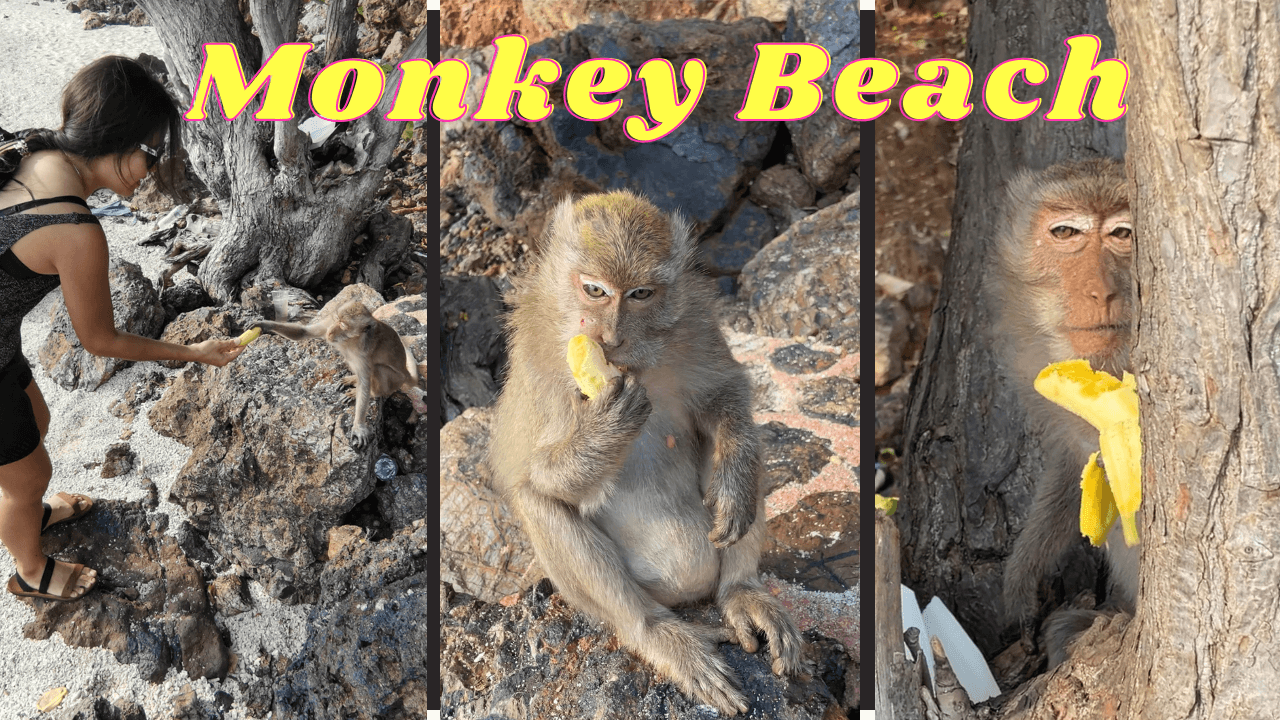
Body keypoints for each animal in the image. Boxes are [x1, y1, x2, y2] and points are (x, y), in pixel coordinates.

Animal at [254, 298, 428, 448]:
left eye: (343, 325)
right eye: (337, 319)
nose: (331, 331)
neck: (348, 340)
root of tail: (406, 373)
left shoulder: (363, 352)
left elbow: (365, 382)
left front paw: (358, 425)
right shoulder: (328, 322)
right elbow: (304, 332)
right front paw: (264, 324)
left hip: (396, 380)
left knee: (378, 370)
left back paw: (366, 391)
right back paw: (353, 379)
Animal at [487, 190, 803, 715]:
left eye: (640, 294)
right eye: (595, 290)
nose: (610, 336)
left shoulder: (695, 322)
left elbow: (727, 393)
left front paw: (735, 479)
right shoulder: (537, 360)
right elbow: (533, 475)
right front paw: (608, 424)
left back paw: (741, 589)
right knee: (538, 501)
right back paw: (656, 632)